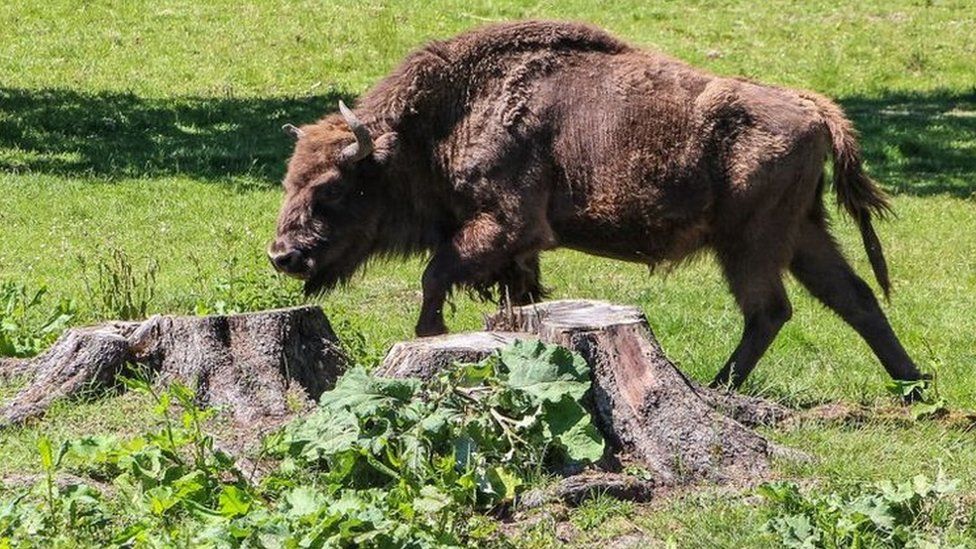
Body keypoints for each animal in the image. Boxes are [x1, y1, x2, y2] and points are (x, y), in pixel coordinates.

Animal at [269, 20, 924, 389]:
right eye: (289, 180)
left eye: (331, 188)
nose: (282, 256)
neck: (435, 125)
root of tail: (815, 108)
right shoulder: (516, 251)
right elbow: (514, 297)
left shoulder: (504, 226)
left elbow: (435, 277)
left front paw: (431, 336)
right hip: (804, 234)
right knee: (854, 299)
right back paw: (913, 385)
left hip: (750, 243)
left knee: (770, 310)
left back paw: (721, 387)